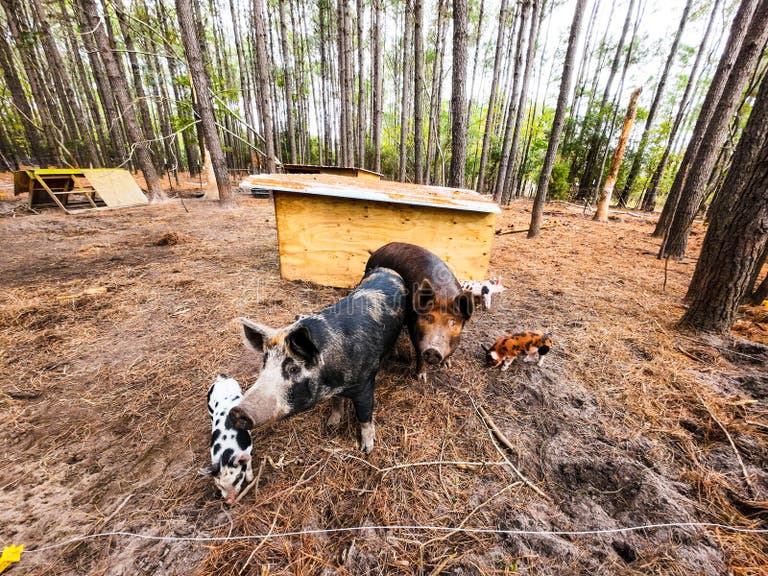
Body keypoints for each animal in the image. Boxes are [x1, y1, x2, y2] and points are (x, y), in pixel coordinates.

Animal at [206, 375, 254, 504]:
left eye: (237, 479)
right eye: (220, 485)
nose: (229, 501)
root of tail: (221, 379)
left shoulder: (248, 448)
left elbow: (248, 463)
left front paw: (250, 479)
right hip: (209, 407)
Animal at [226, 267, 406, 453]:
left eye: (293, 369)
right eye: (264, 363)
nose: (237, 411)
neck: (332, 380)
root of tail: (388, 270)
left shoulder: (365, 383)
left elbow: (364, 416)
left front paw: (367, 449)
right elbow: (336, 403)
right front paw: (331, 425)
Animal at [364, 242, 474, 381]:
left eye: (452, 322)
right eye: (428, 317)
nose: (433, 350)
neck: (444, 295)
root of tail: (376, 251)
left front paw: (447, 365)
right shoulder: (413, 324)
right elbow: (418, 351)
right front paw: (421, 378)